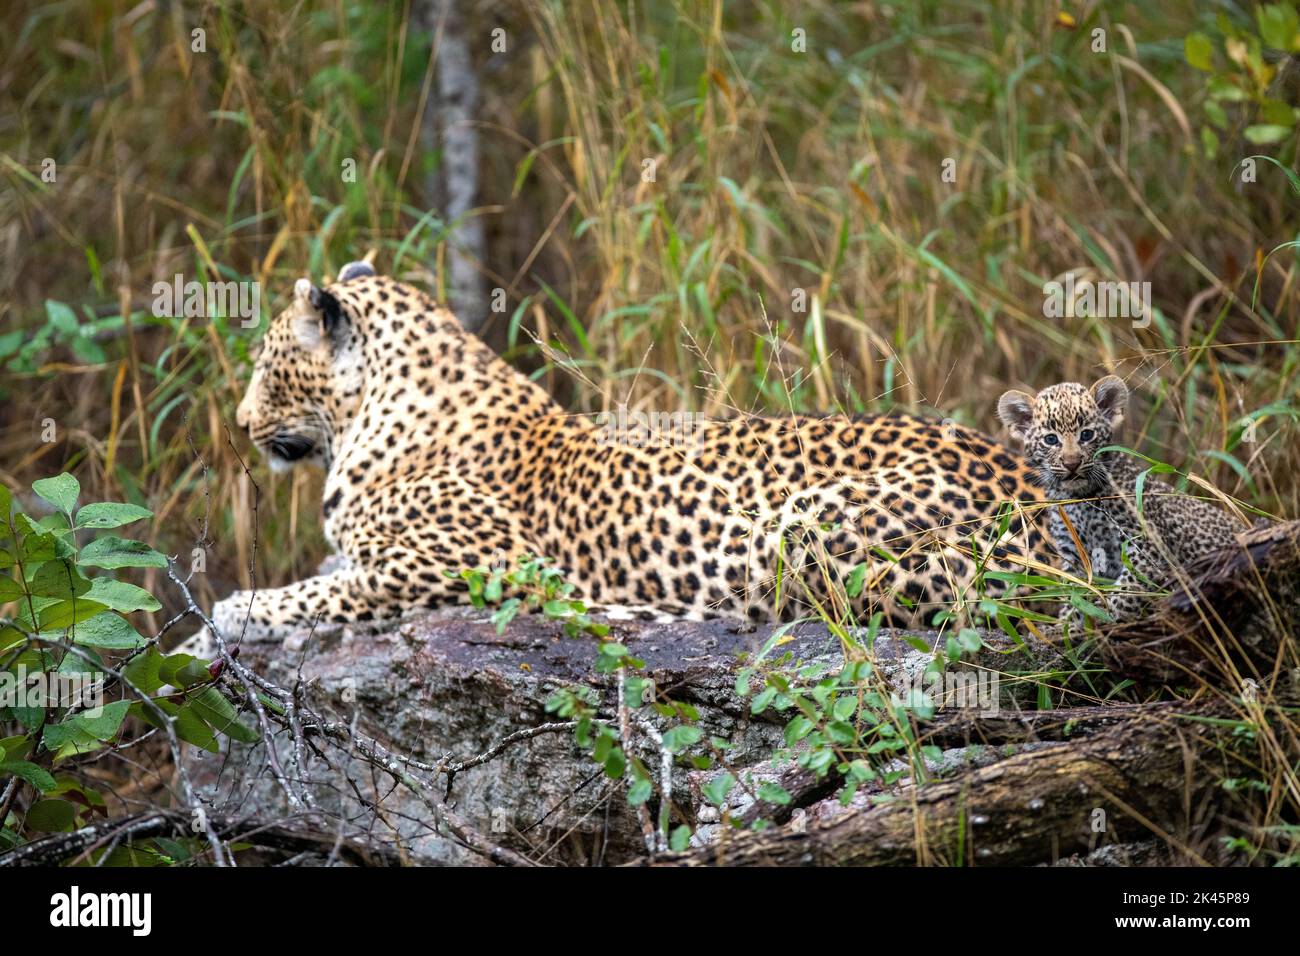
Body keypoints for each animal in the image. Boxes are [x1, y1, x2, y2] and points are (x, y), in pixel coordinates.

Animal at [204, 260, 1055, 645]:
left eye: (267, 364)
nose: (240, 422)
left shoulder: (470, 561)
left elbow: (325, 592)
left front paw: (231, 612)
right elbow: (327, 578)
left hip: (791, 530)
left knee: (791, 606)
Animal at [996, 375, 1246, 626]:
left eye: (1086, 435)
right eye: (1050, 439)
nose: (1072, 463)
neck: (1078, 498)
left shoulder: (1147, 543)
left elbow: (1128, 591)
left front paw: (1101, 617)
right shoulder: (1073, 551)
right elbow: (1074, 592)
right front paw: (1065, 625)